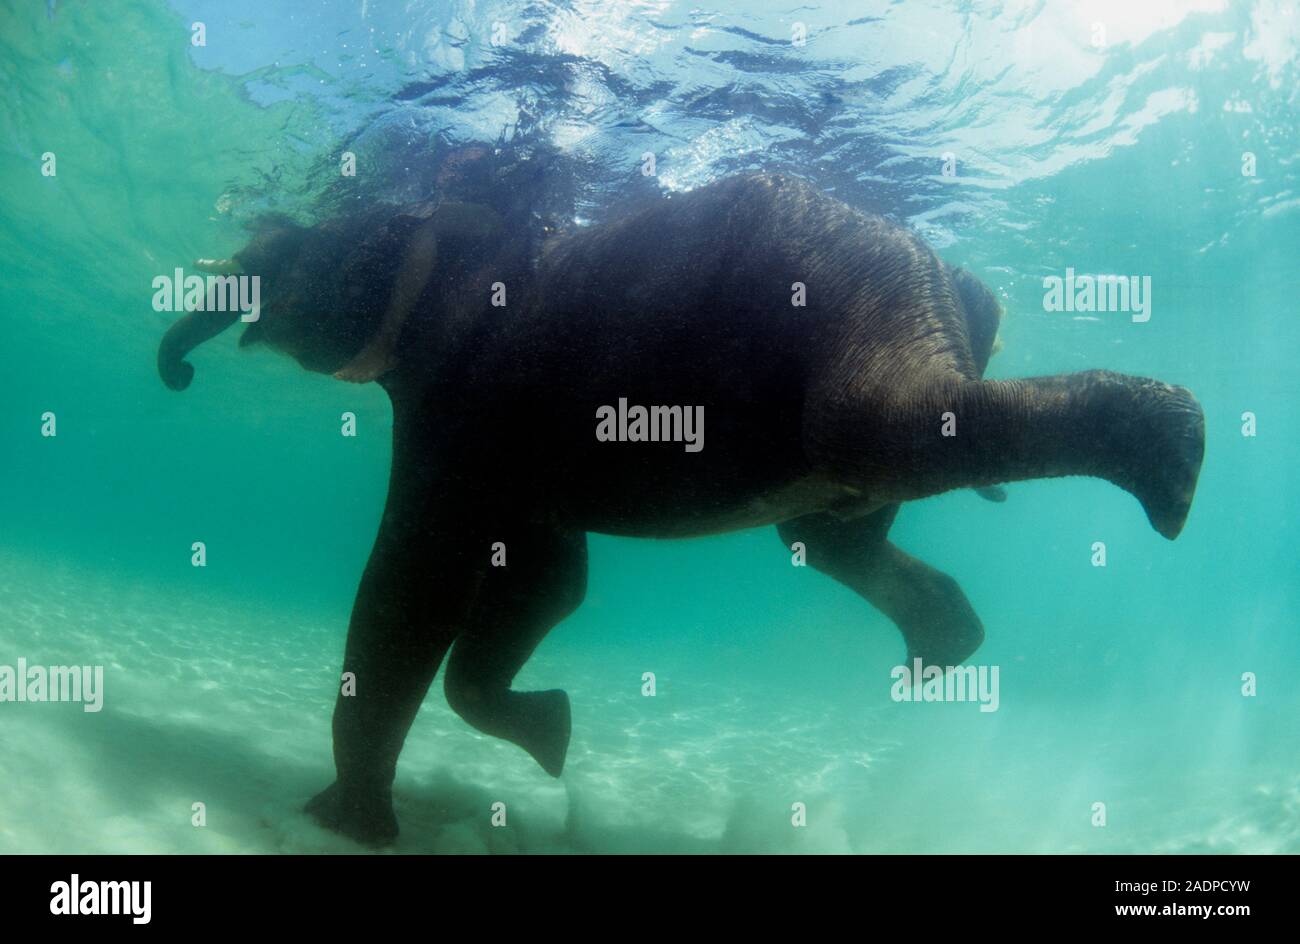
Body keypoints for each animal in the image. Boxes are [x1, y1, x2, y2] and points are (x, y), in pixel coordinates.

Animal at [157, 173, 1205, 845]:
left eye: (296, 253)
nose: (177, 374)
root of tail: (949, 282)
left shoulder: (458, 400)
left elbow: (415, 581)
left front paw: (345, 826)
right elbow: (547, 582)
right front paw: (552, 741)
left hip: (844, 320)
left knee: (884, 434)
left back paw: (1172, 469)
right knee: (831, 528)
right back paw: (946, 649)